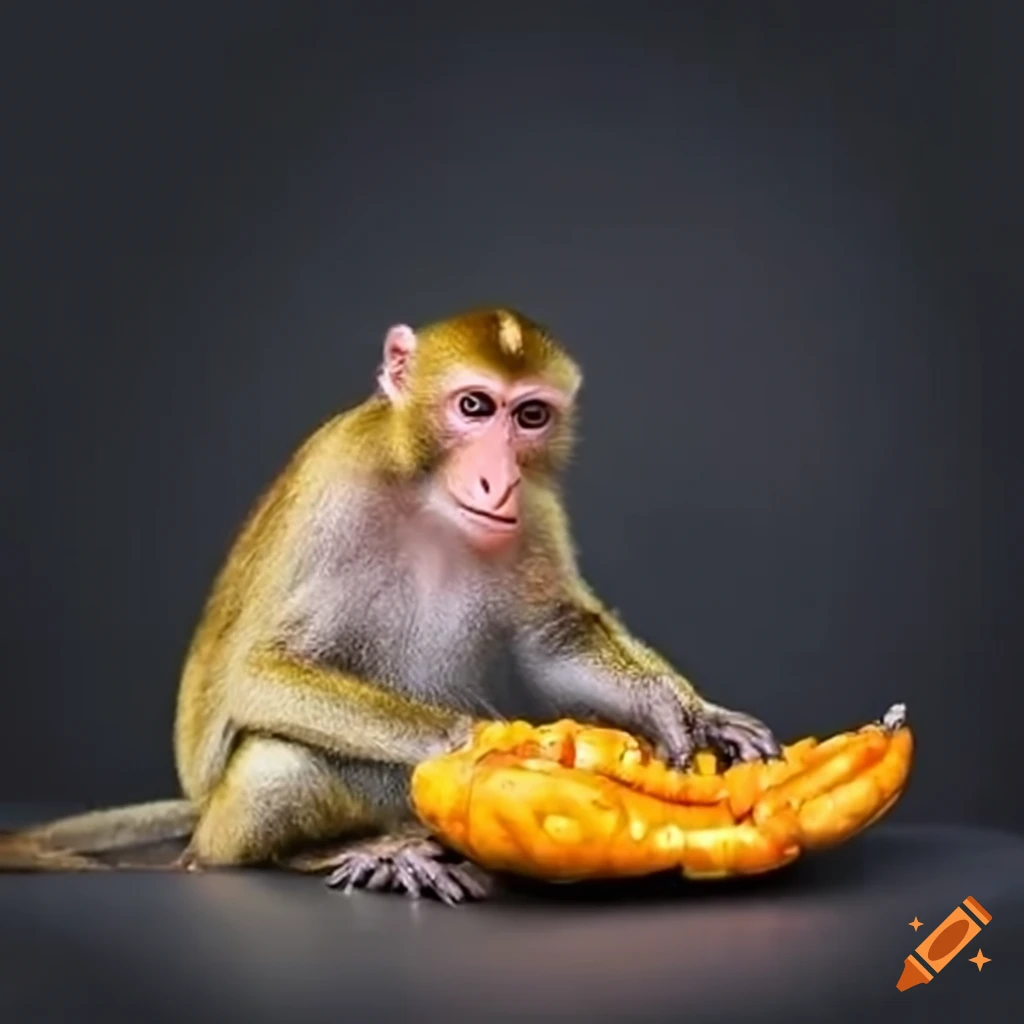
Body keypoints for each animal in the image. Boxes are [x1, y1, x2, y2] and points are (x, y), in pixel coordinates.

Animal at [0, 308, 780, 903]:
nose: (497, 480)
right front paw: (488, 742)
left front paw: (680, 709)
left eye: (529, 415)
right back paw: (350, 851)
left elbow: (555, 640)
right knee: (277, 764)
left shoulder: (535, 508)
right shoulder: (337, 487)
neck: (428, 494)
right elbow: (259, 673)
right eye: (473, 406)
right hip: (241, 823)